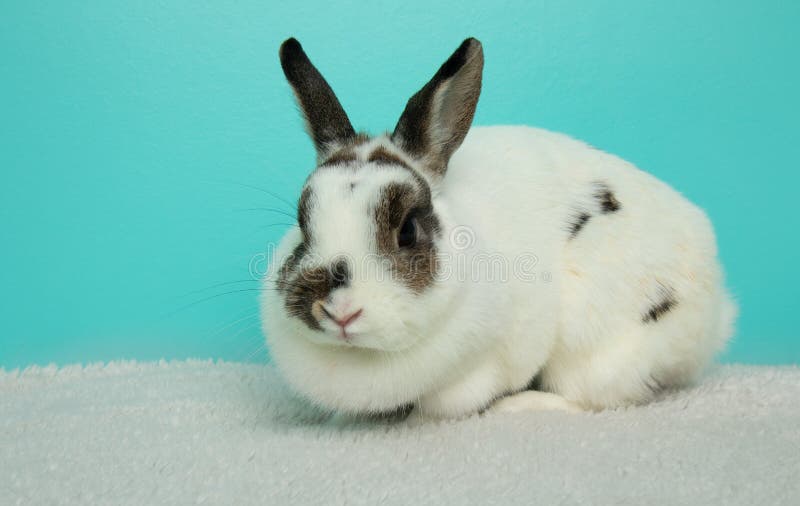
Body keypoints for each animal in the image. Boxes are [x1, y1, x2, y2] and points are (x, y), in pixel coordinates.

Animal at [260, 37, 737, 419]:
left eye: (408, 230)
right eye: (302, 226)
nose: (340, 311)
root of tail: (716, 311)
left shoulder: (487, 363)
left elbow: (448, 402)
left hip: (595, 347)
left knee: (593, 397)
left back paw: (525, 404)